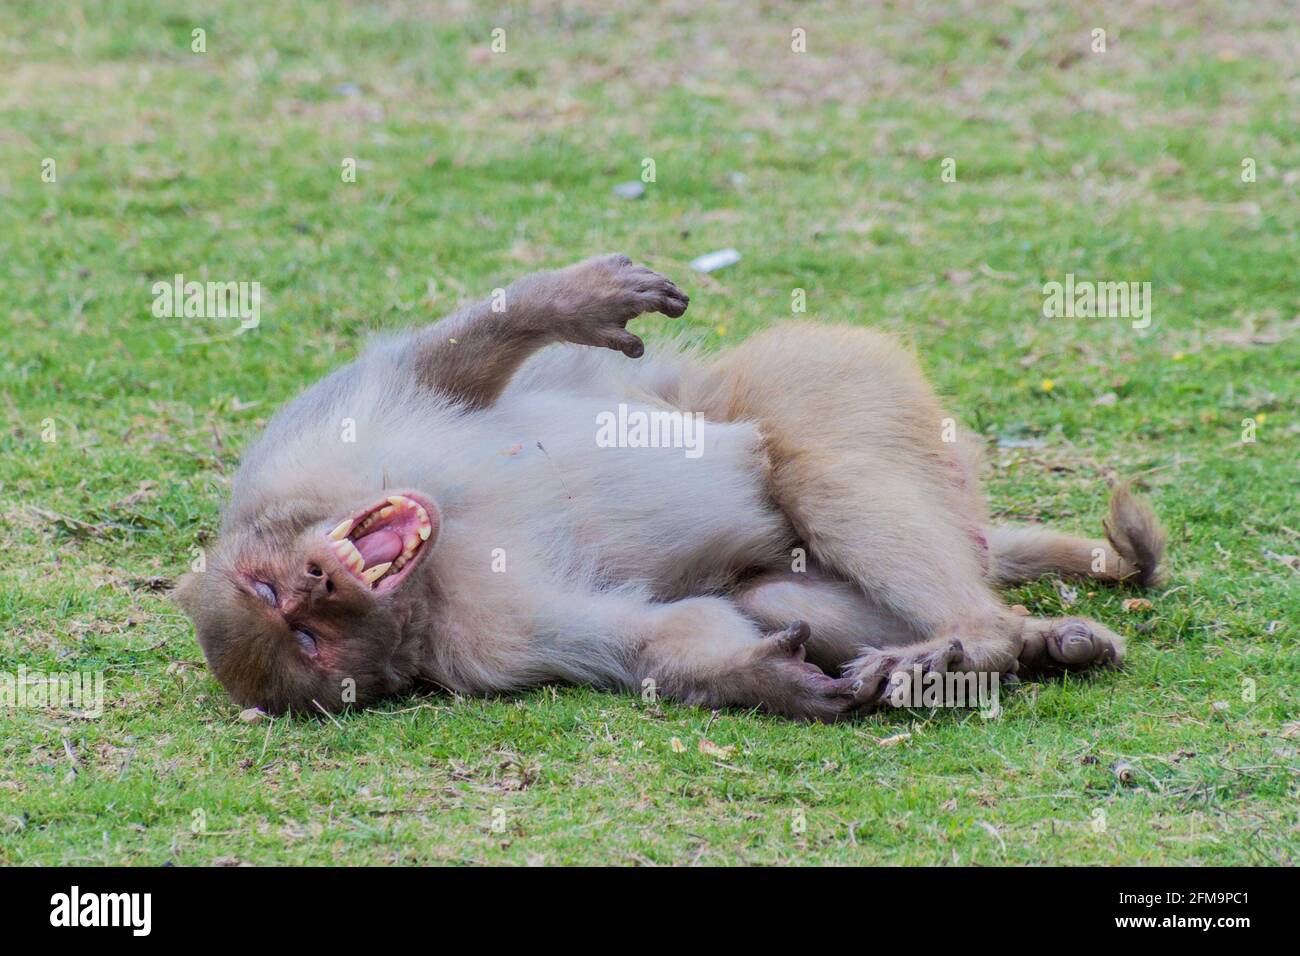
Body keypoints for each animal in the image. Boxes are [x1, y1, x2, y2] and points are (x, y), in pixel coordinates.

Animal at [174, 254, 1166, 720]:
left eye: (276, 589)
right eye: (305, 638)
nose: (319, 580)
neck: (442, 563)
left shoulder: (306, 444)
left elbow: (451, 370)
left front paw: (568, 303)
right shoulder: (483, 649)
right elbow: (653, 634)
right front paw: (763, 679)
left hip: (837, 370)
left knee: (819, 466)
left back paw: (984, 636)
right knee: (772, 587)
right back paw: (1010, 644)